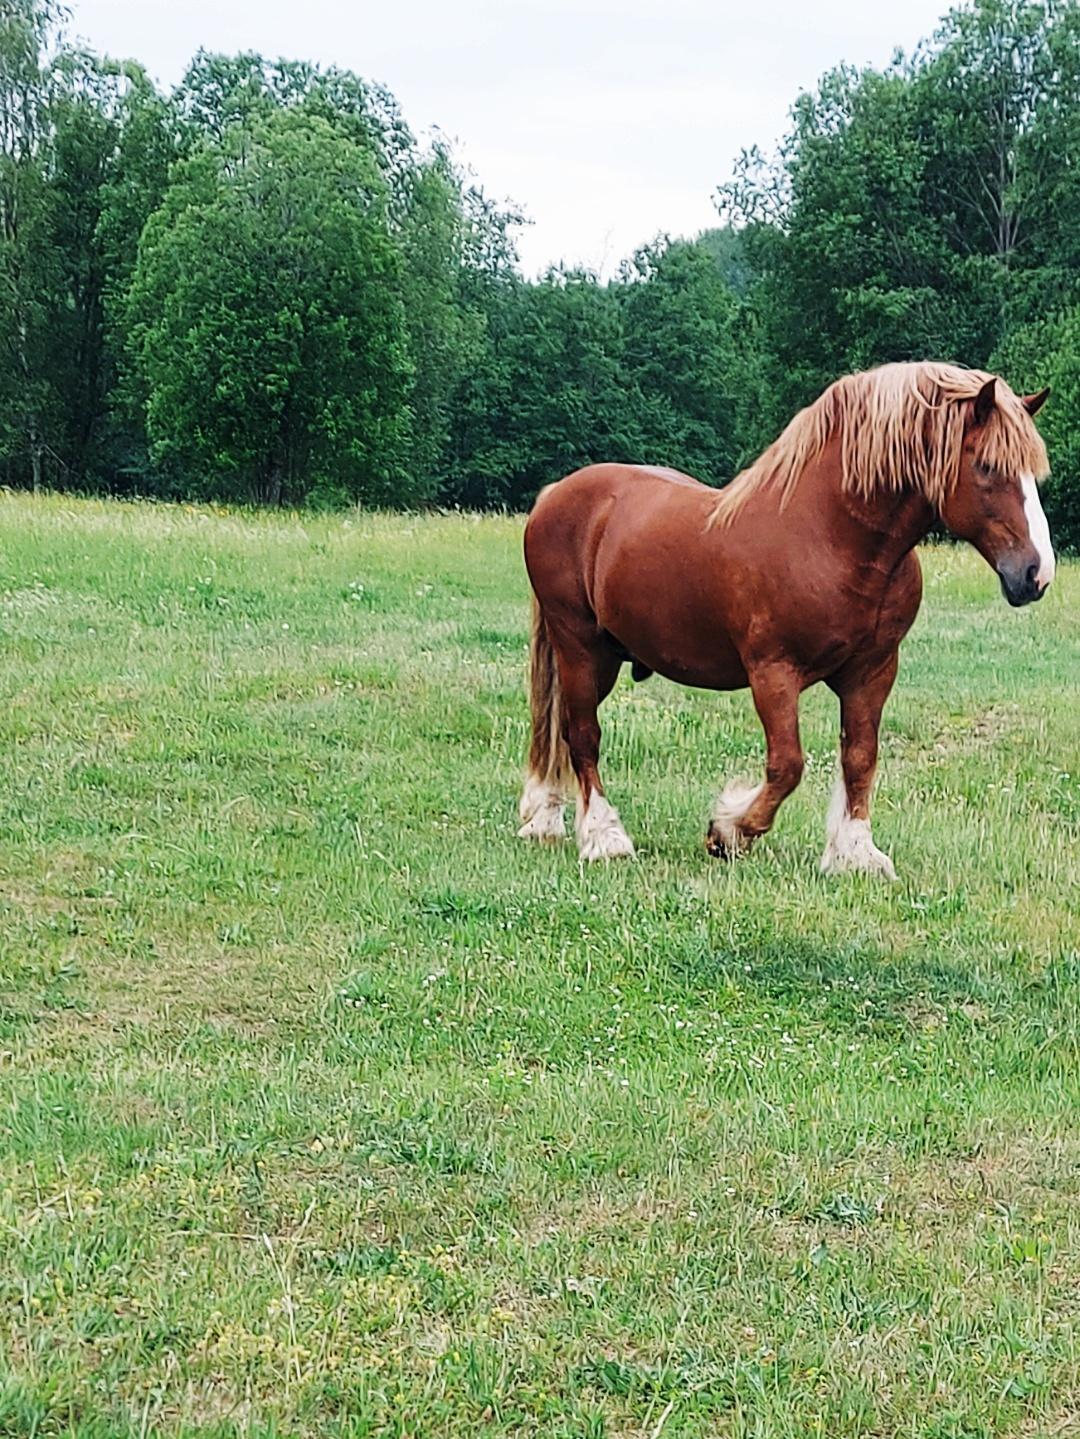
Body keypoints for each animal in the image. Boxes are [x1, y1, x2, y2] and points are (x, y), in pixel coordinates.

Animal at [520, 359, 1052, 874]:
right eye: (988, 466)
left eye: (1034, 473)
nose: (1035, 573)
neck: (828, 536)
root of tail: (553, 495)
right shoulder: (773, 673)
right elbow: (788, 764)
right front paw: (728, 831)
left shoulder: (872, 672)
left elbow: (860, 757)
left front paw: (856, 853)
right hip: (579, 645)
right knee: (582, 735)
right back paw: (603, 838)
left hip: (606, 657)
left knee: (562, 729)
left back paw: (545, 819)